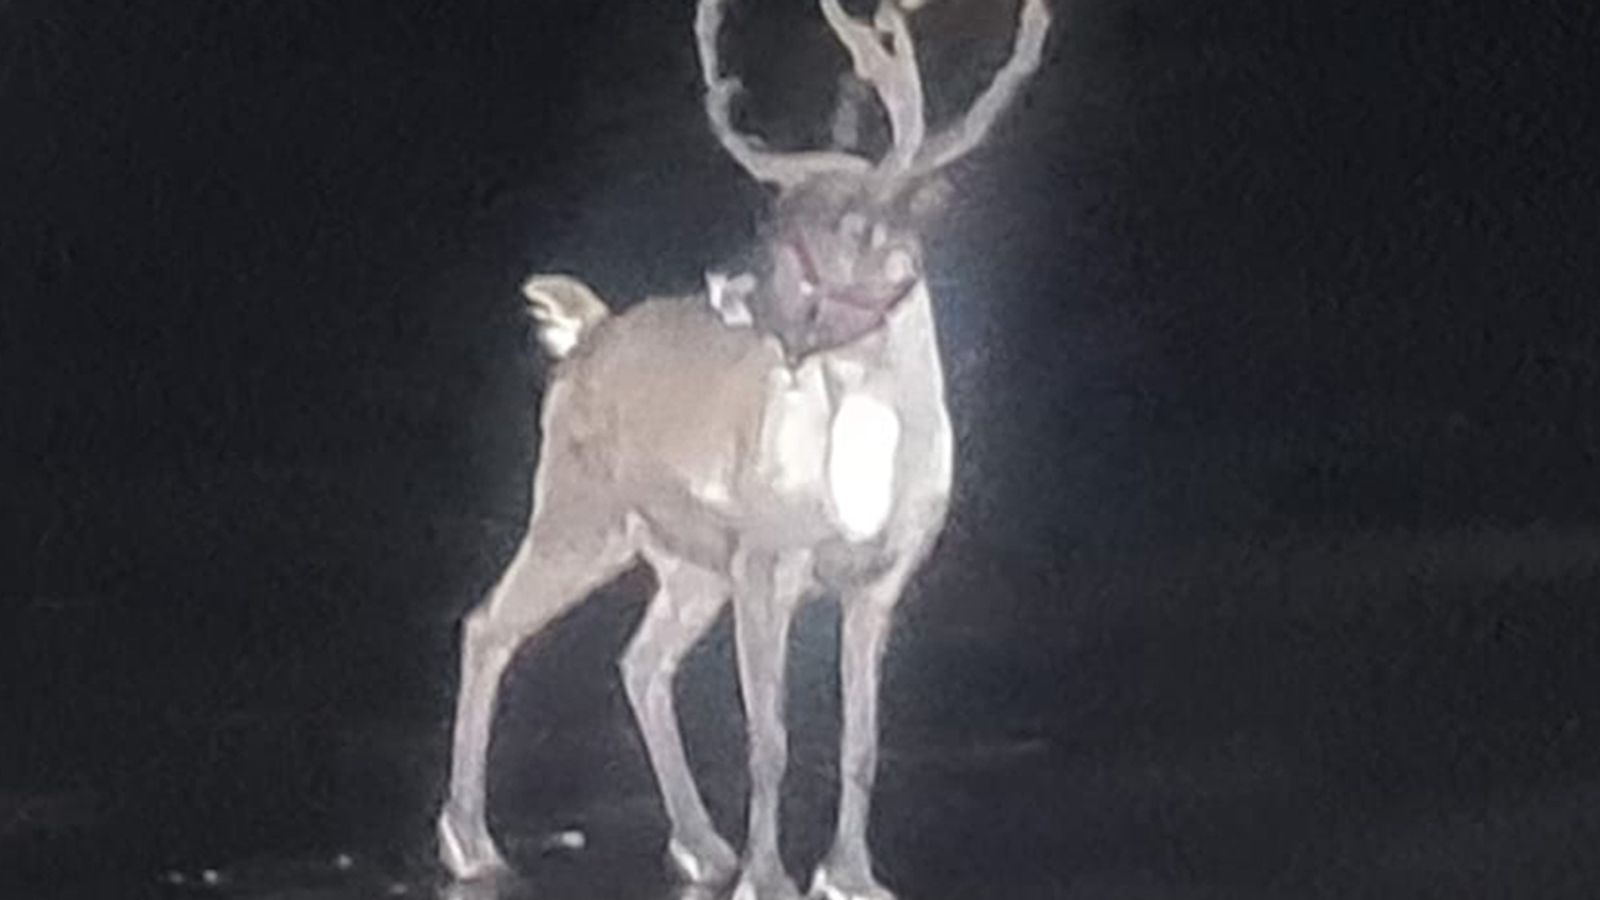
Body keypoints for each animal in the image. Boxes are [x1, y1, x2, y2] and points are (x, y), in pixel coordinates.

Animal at [436, 0, 1051, 898]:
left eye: (852, 225)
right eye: (774, 214)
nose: (730, 285)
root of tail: (587, 334)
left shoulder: (881, 580)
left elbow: (861, 743)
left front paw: (851, 874)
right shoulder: (767, 559)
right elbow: (770, 738)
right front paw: (770, 876)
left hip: (689, 562)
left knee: (640, 660)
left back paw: (700, 844)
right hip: (579, 511)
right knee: (489, 624)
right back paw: (471, 843)